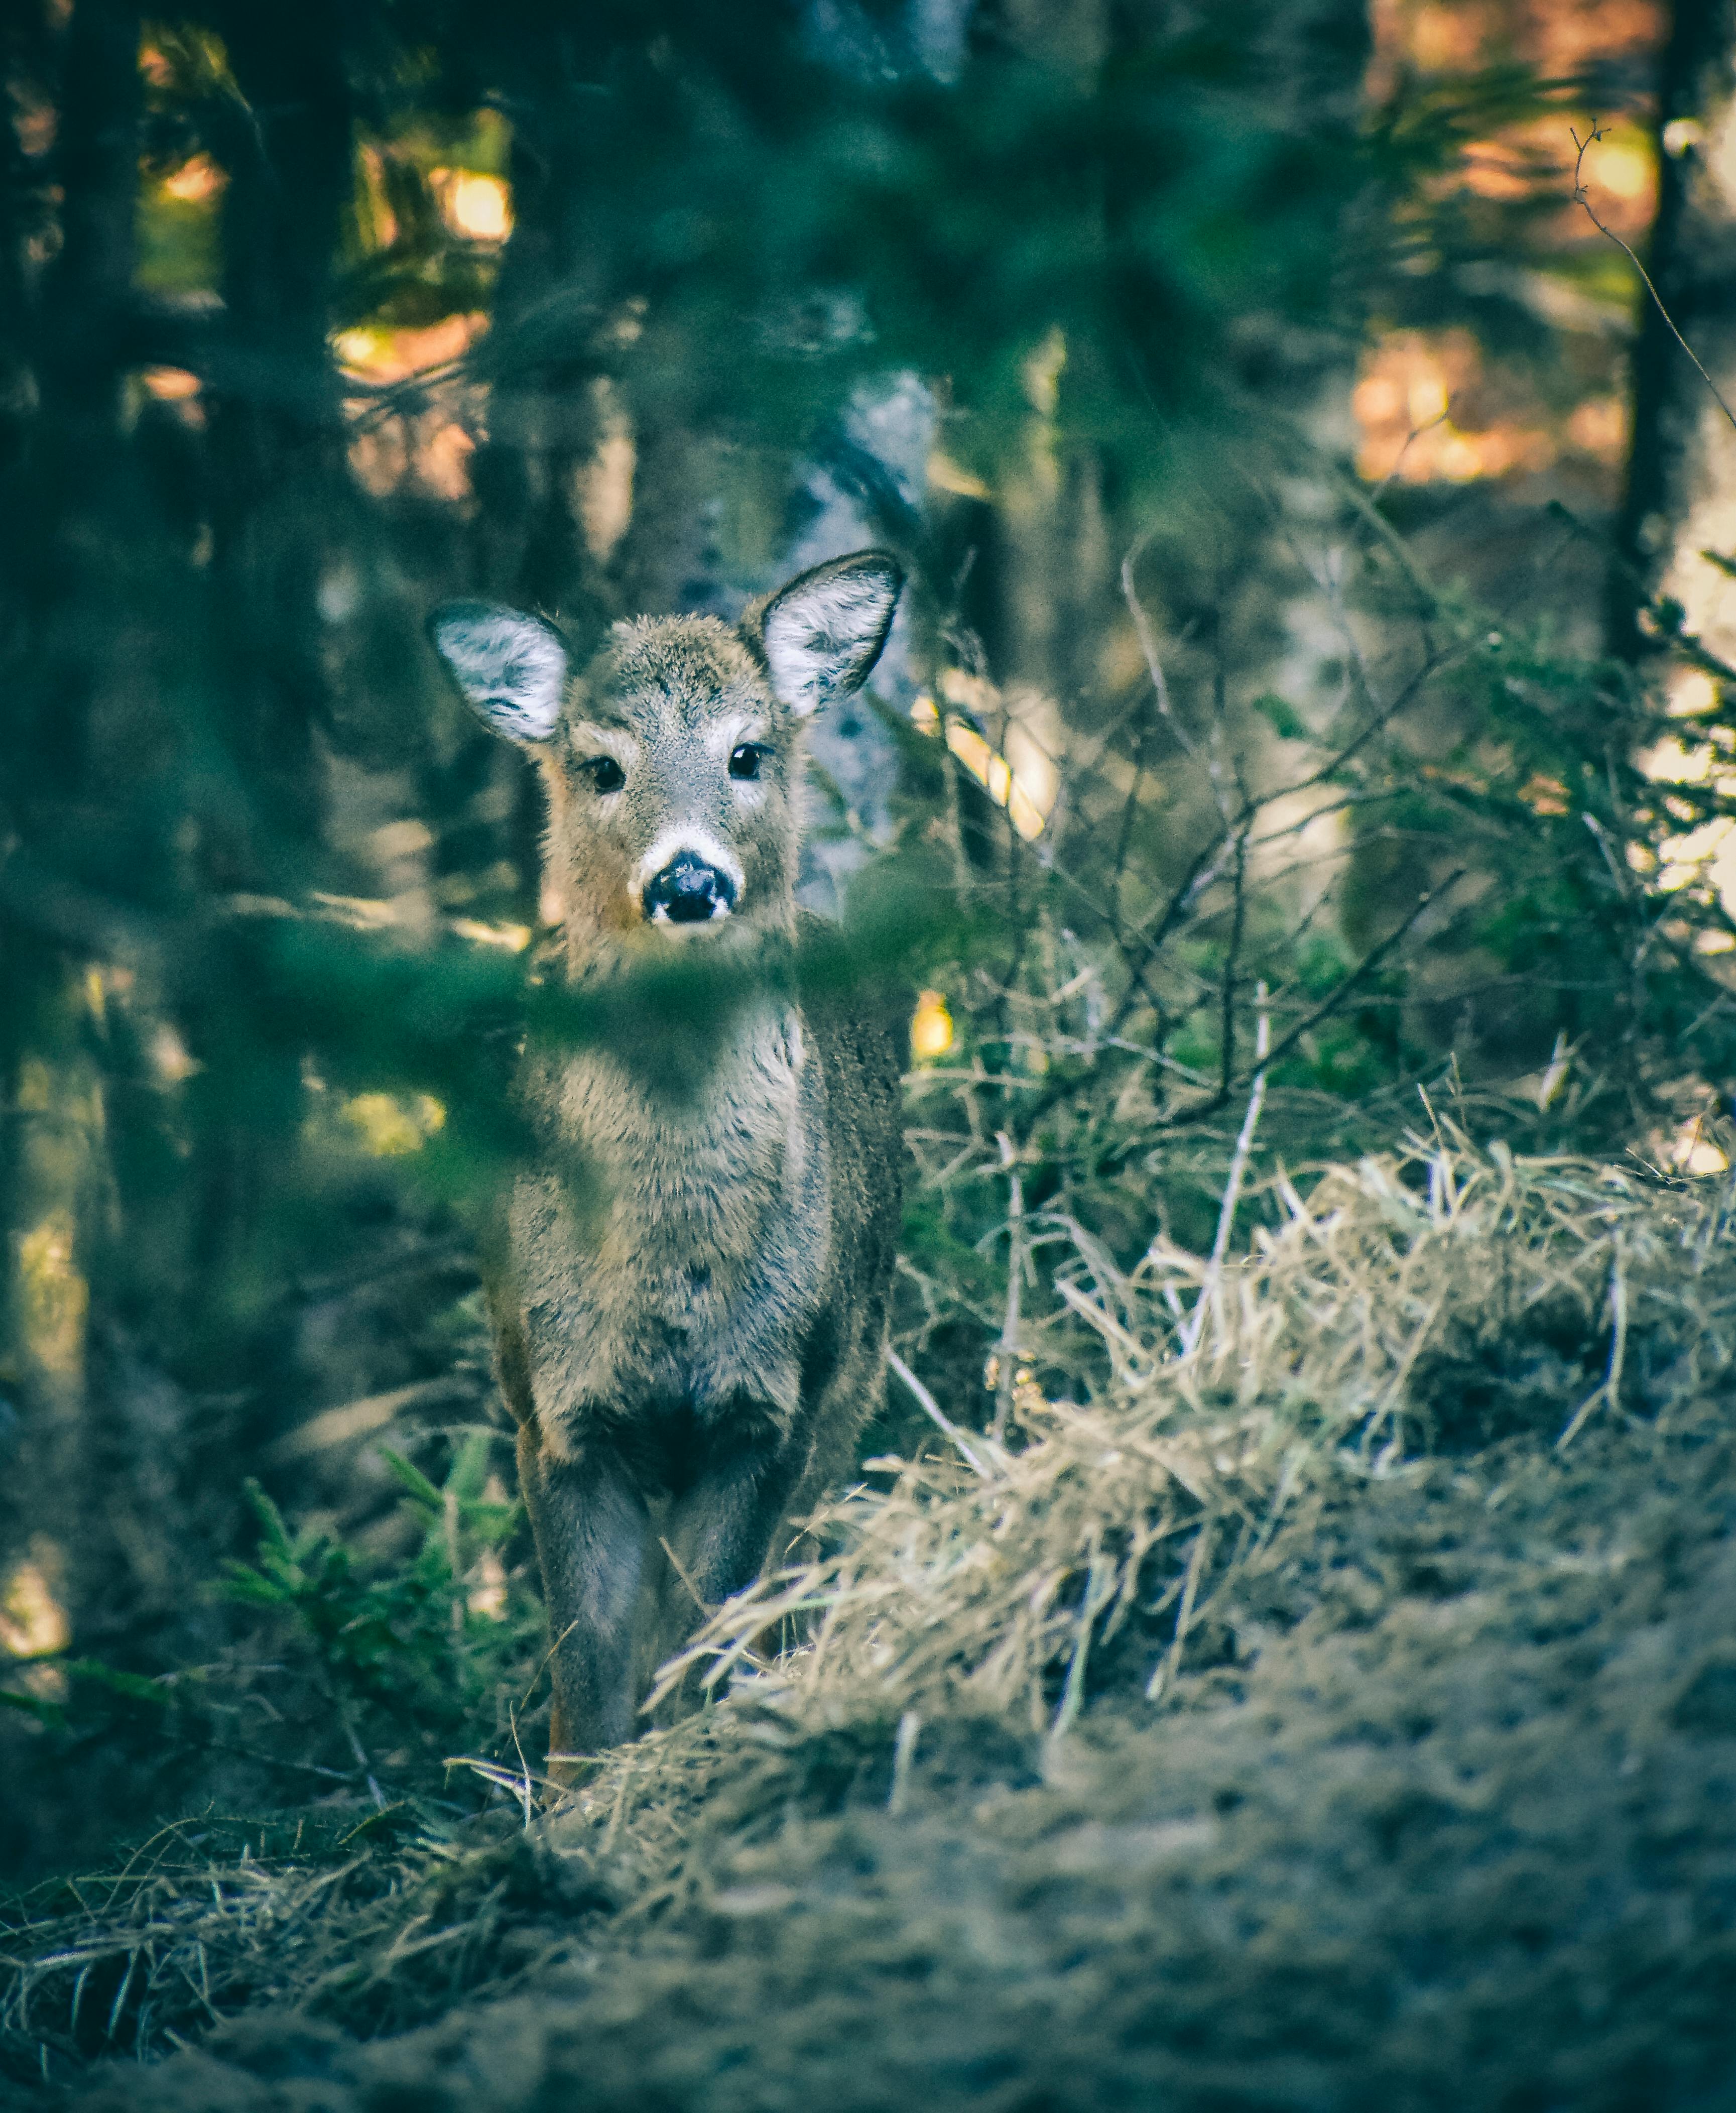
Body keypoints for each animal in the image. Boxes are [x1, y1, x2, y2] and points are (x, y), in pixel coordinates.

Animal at [428, 552, 907, 1764]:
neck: (671, 1281)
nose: (688, 882)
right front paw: (578, 1797)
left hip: (858, 1369)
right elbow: (589, 1670)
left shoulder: (775, 1401)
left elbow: (707, 1634)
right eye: (601, 766)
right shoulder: (551, 1408)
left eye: (749, 753)